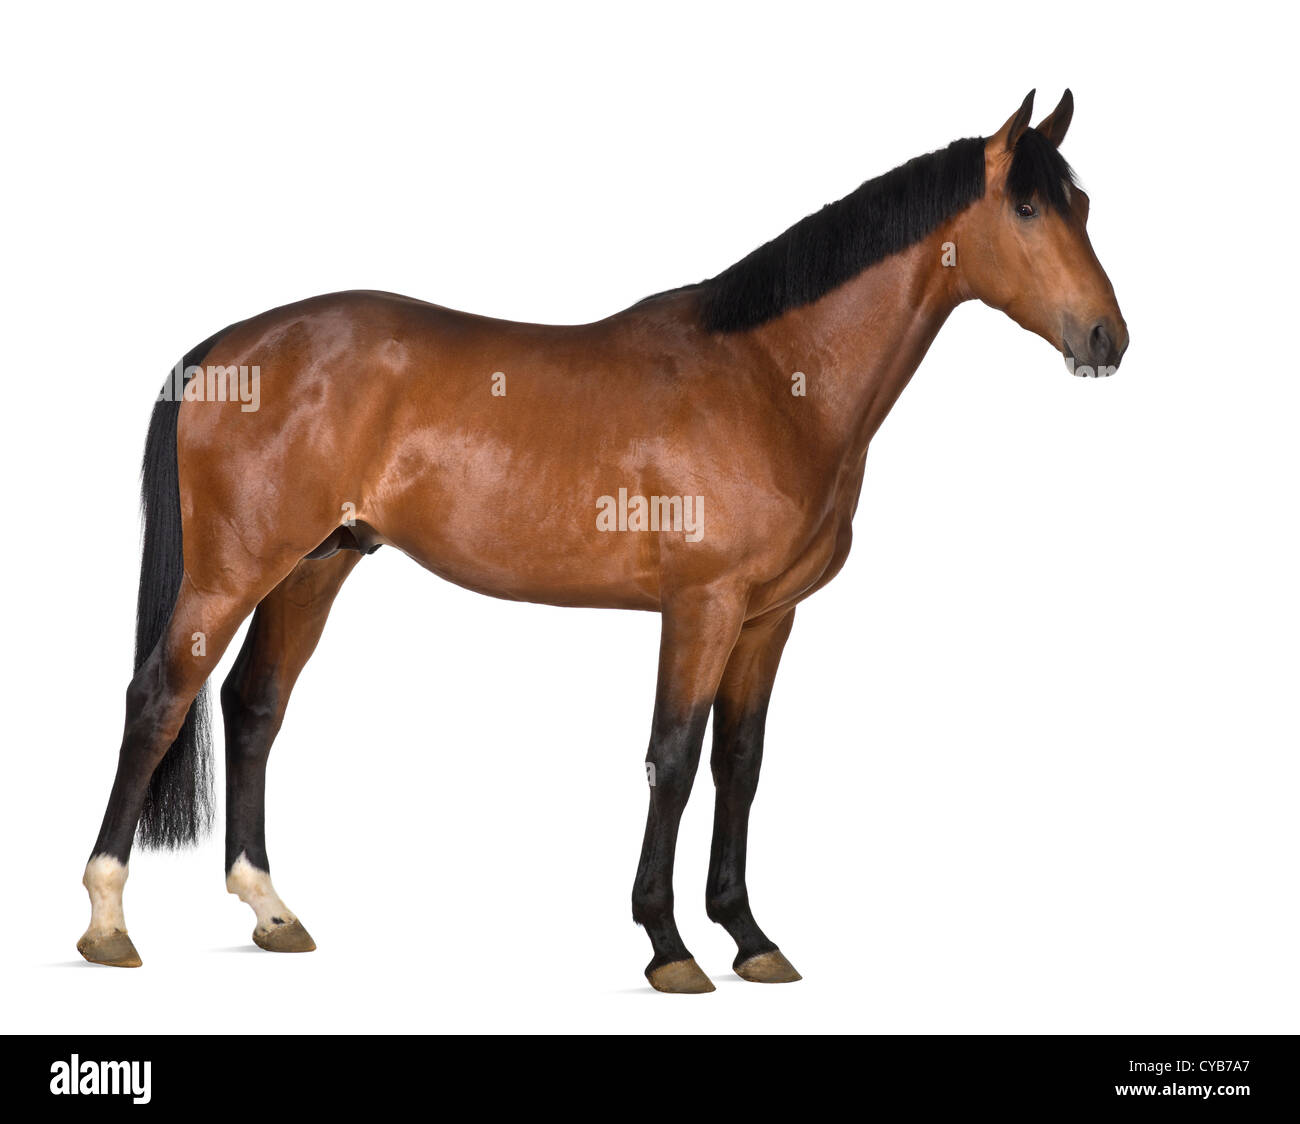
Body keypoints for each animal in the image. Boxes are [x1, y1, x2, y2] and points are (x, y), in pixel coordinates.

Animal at [78, 90, 1127, 992]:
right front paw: (669, 946)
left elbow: (740, 765)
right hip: (232, 573)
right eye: (1026, 206)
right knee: (159, 700)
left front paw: (749, 937)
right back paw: (107, 922)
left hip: (315, 568)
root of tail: (228, 348)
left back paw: (271, 912)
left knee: (254, 708)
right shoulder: (700, 608)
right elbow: (674, 757)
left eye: (1080, 202)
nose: (1106, 339)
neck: (769, 376)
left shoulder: (768, 619)